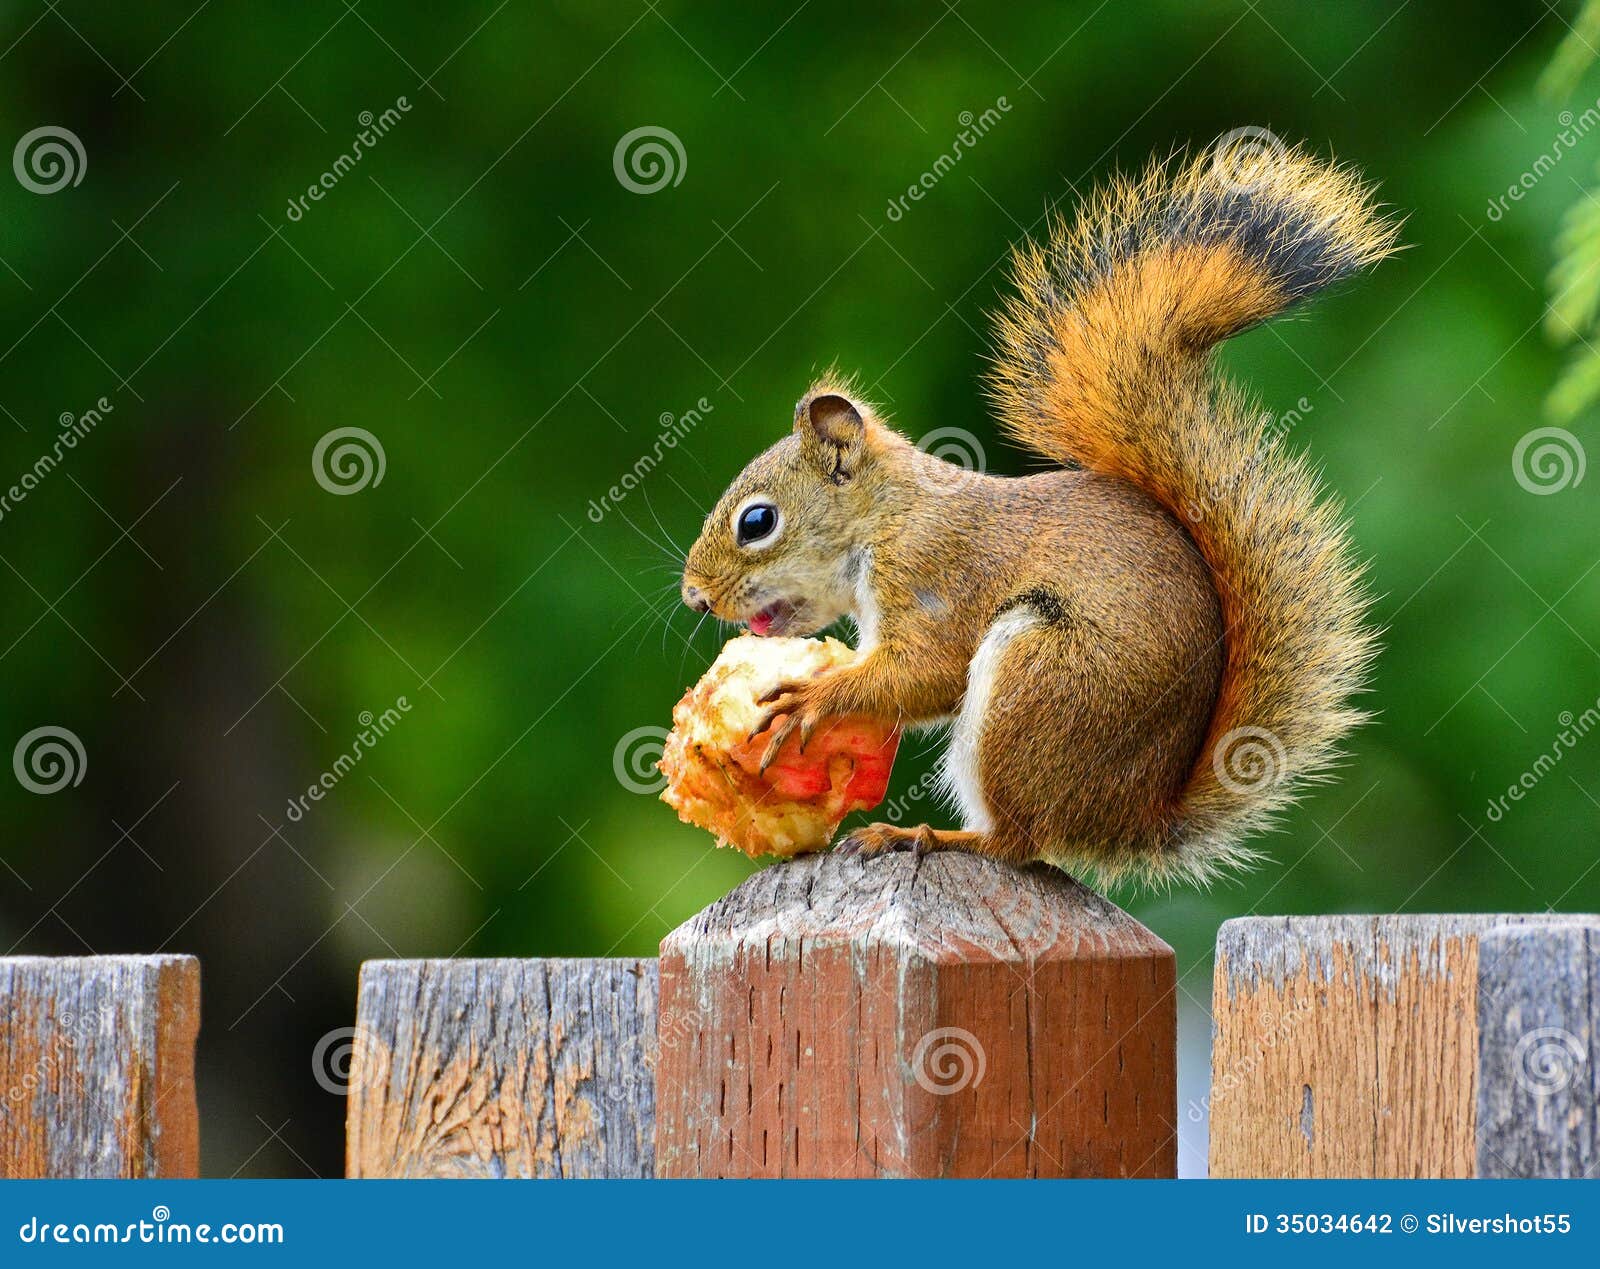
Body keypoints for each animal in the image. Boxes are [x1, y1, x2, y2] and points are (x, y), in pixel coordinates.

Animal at [679, 139, 1399, 886]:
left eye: (757, 522)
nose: (695, 597)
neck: (889, 517)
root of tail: (1130, 820)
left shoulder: (936, 573)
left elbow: (929, 670)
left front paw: (815, 699)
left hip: (1040, 683)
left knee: (1020, 842)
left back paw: (926, 835)